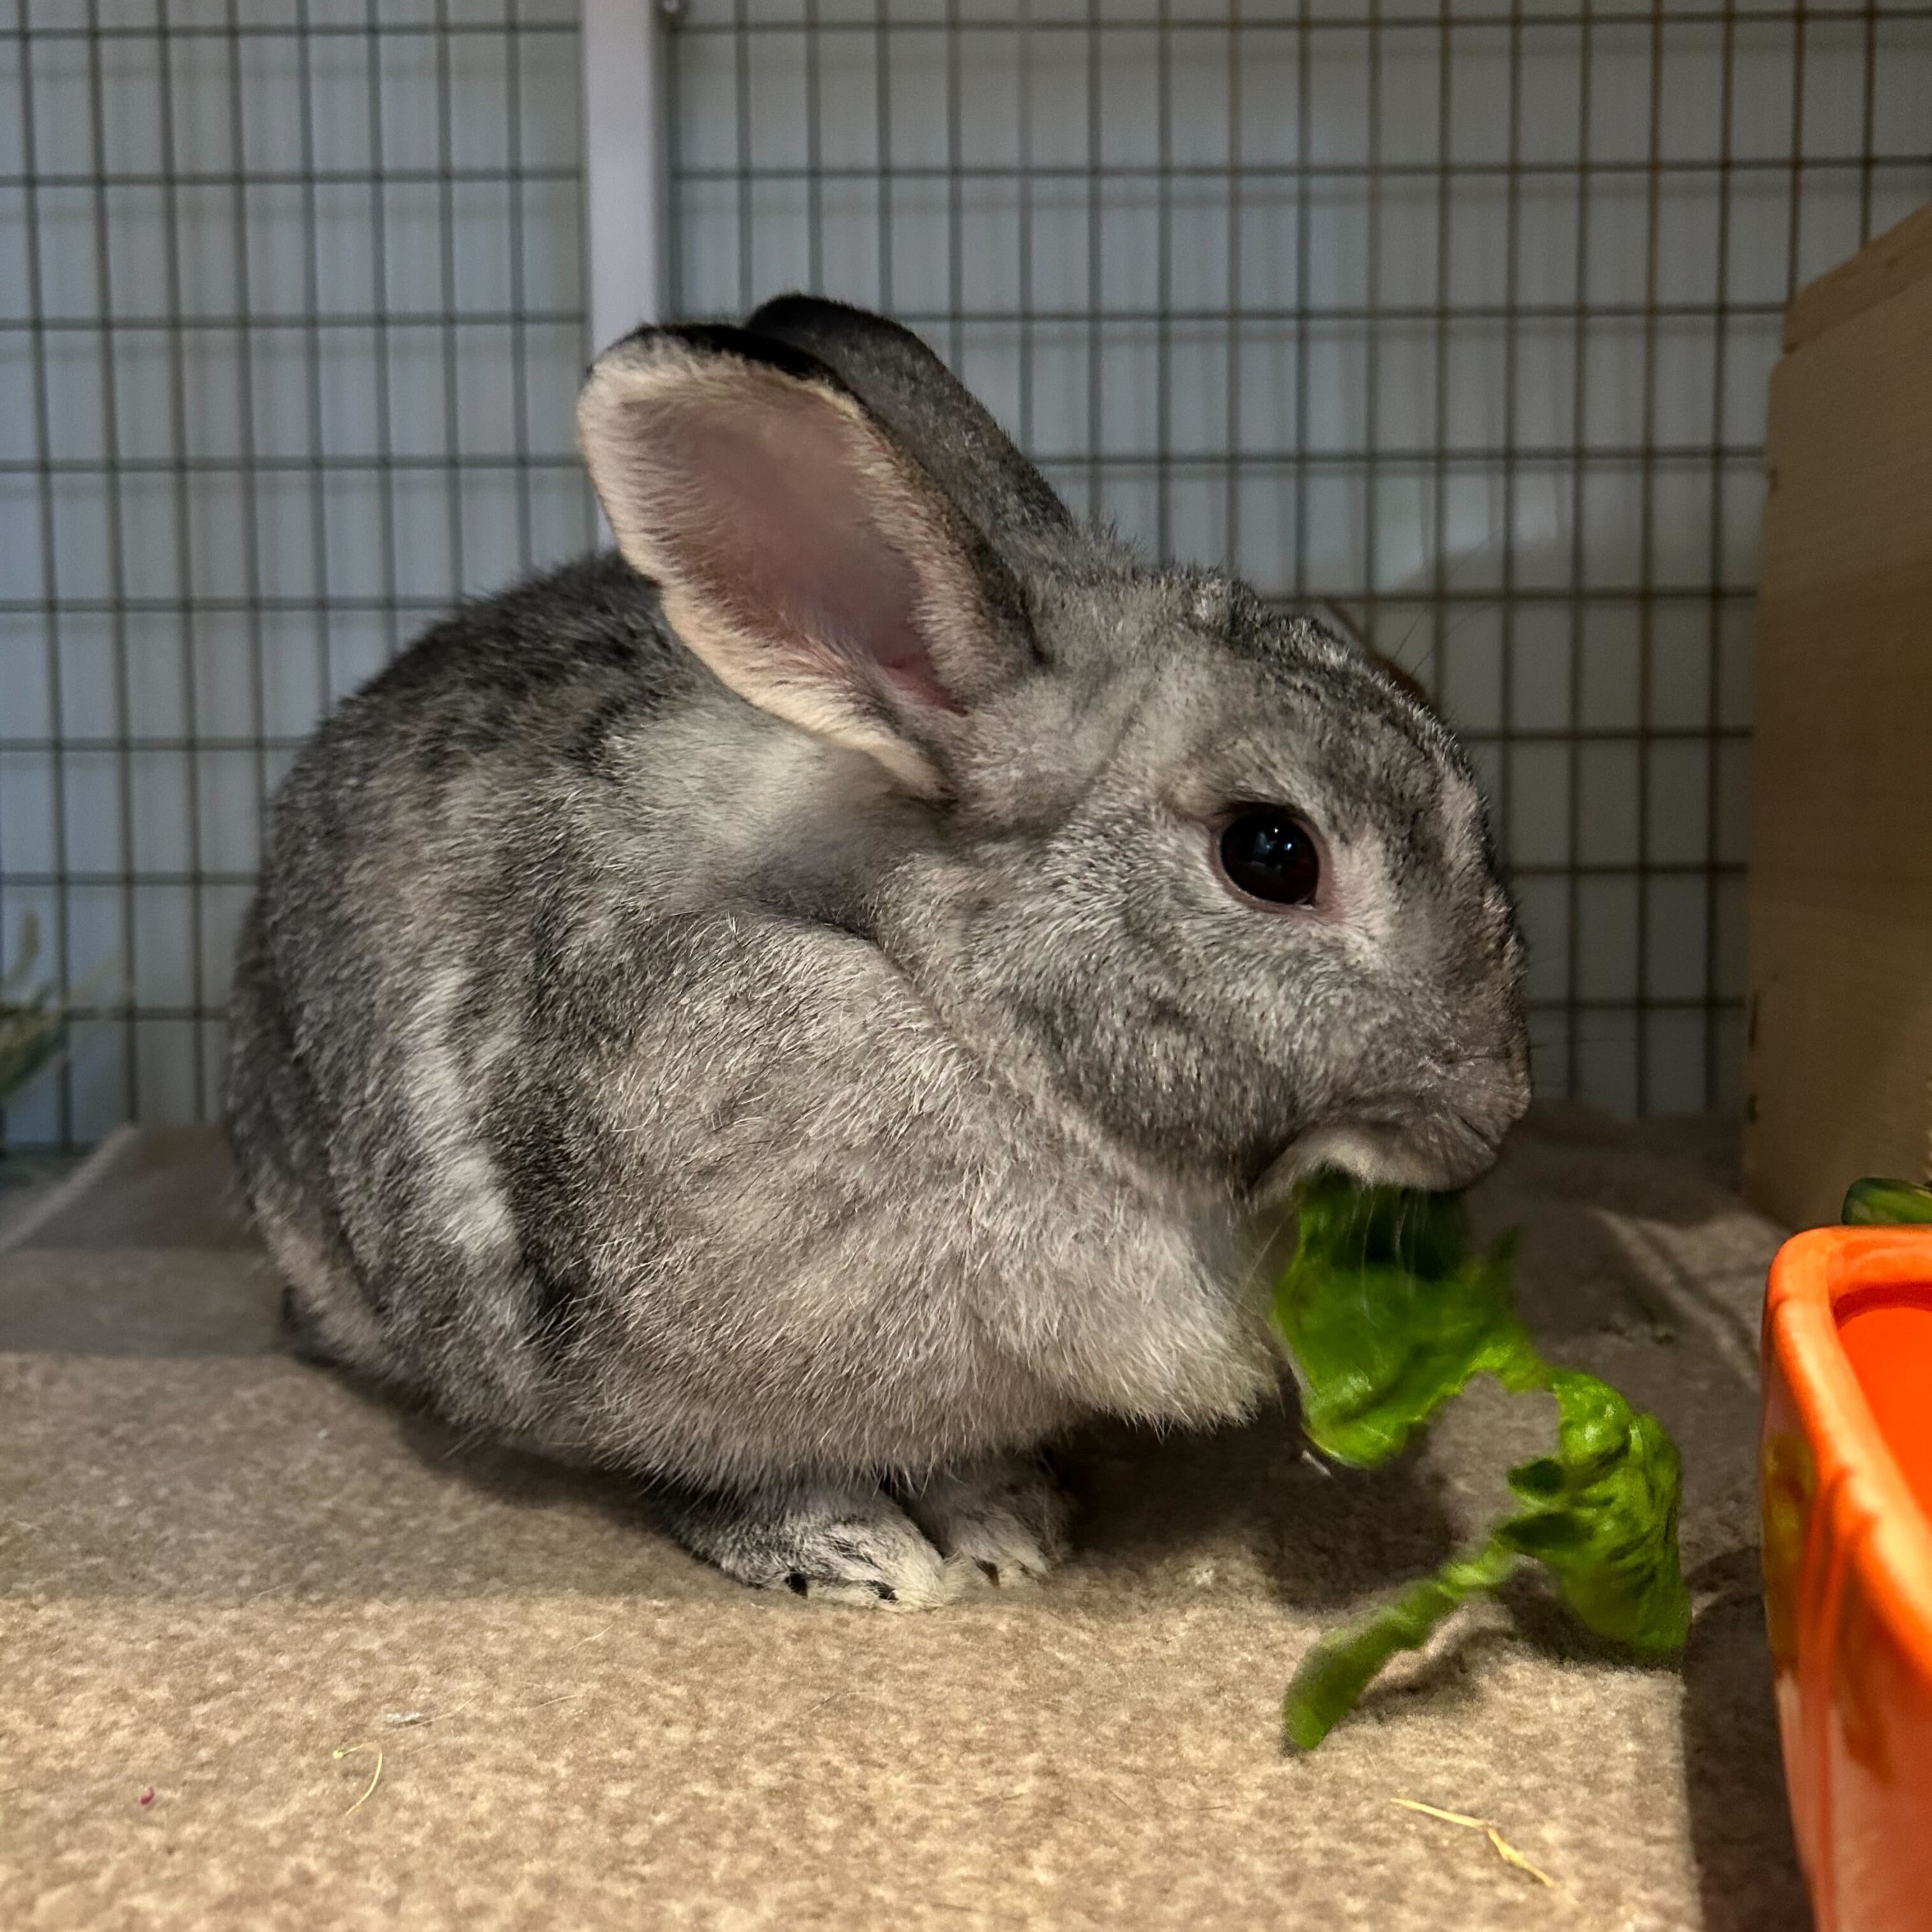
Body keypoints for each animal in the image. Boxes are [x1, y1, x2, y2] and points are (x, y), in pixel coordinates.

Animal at [224, 297, 1531, 1607]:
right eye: (1270, 852)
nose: (1489, 1121)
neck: (957, 1017)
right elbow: (738, 1476)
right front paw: (856, 1555)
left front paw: (1007, 1528)